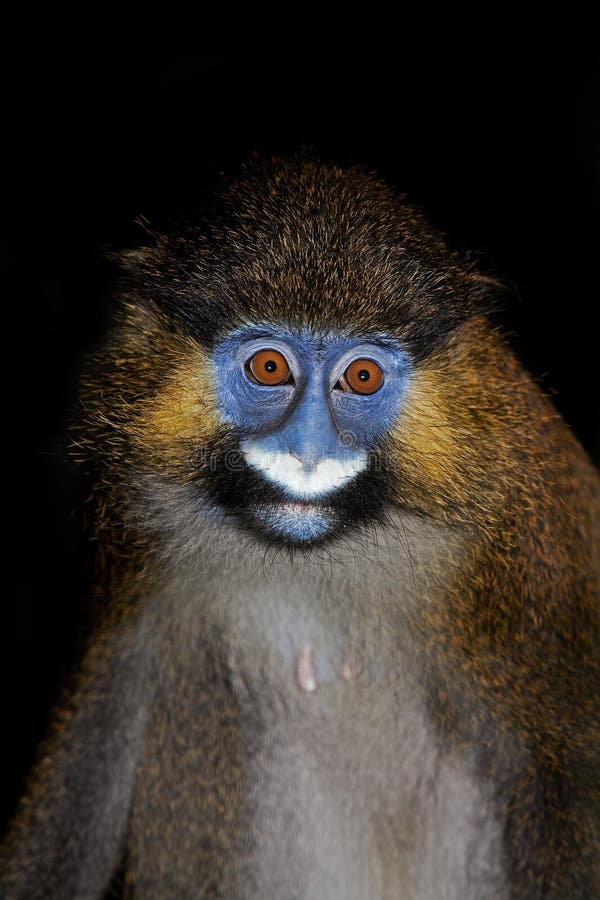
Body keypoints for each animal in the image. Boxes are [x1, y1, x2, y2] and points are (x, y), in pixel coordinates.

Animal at [0, 155, 598, 900]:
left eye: (362, 376)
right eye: (269, 367)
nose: (308, 452)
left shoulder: (519, 547)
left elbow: (566, 776)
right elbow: (98, 734)